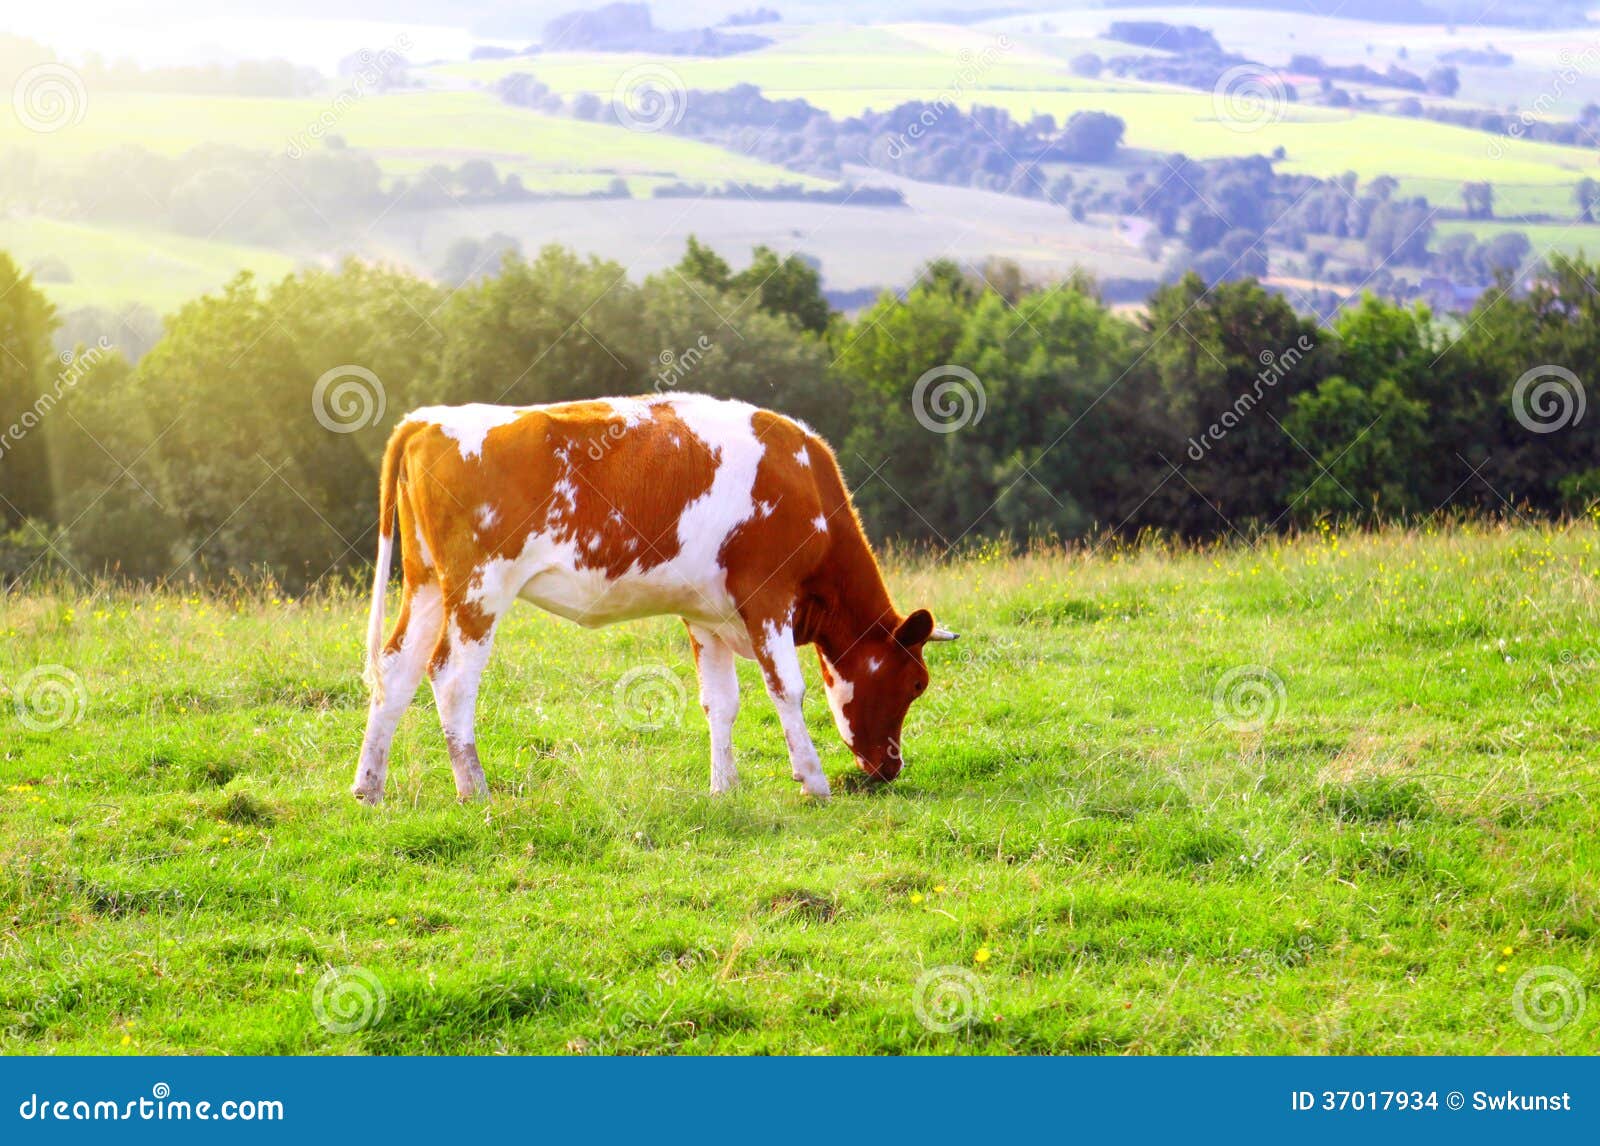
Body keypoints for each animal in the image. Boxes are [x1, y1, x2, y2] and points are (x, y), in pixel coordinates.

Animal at [352, 393, 956, 804]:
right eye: (915, 684)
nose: (889, 770)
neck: (802, 479)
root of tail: (427, 419)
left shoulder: (706, 614)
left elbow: (721, 702)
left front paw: (724, 786)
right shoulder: (768, 596)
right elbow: (788, 688)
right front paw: (812, 779)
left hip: (427, 584)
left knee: (397, 670)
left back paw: (370, 787)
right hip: (480, 588)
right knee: (451, 677)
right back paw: (474, 788)